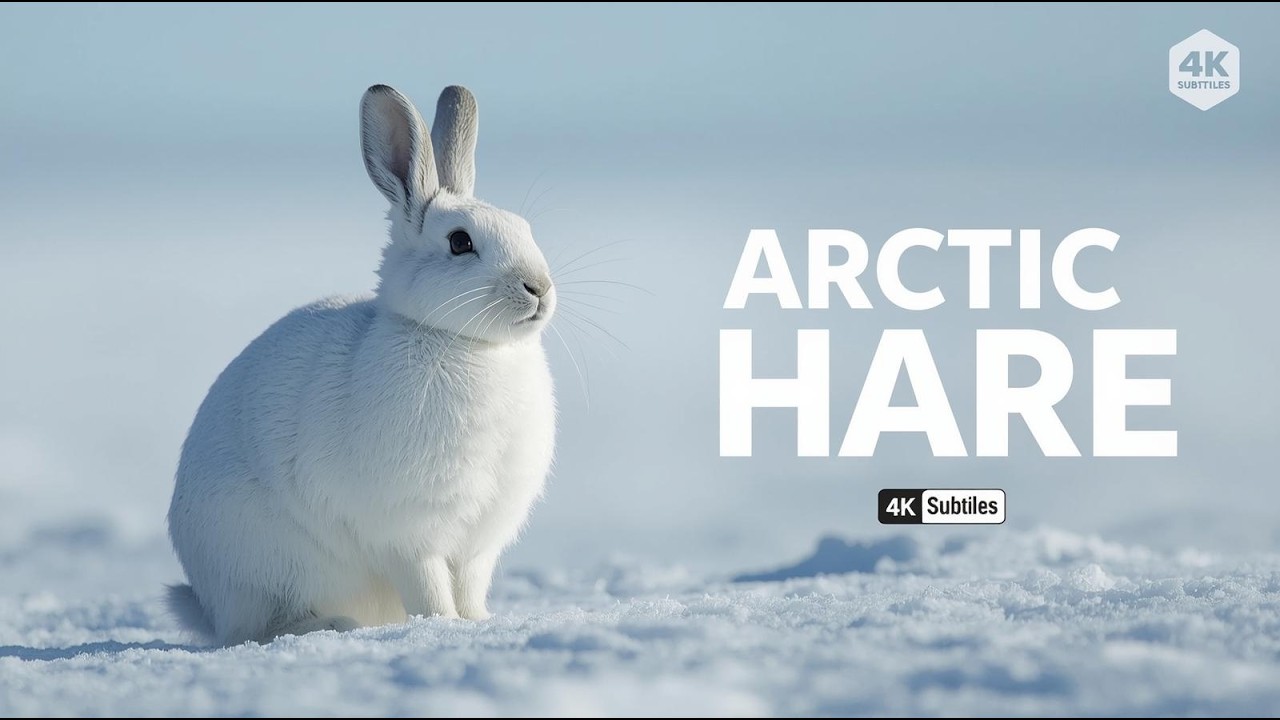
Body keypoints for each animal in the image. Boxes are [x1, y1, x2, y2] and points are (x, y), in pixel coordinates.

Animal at [166, 84, 557, 645]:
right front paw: (442, 626)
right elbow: (428, 586)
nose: (539, 288)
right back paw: (332, 624)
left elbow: (469, 585)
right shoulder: (407, 533)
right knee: (257, 627)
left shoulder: (478, 540)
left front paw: (478, 623)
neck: (466, 343)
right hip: (275, 563)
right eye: (460, 242)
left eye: (525, 229)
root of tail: (206, 603)